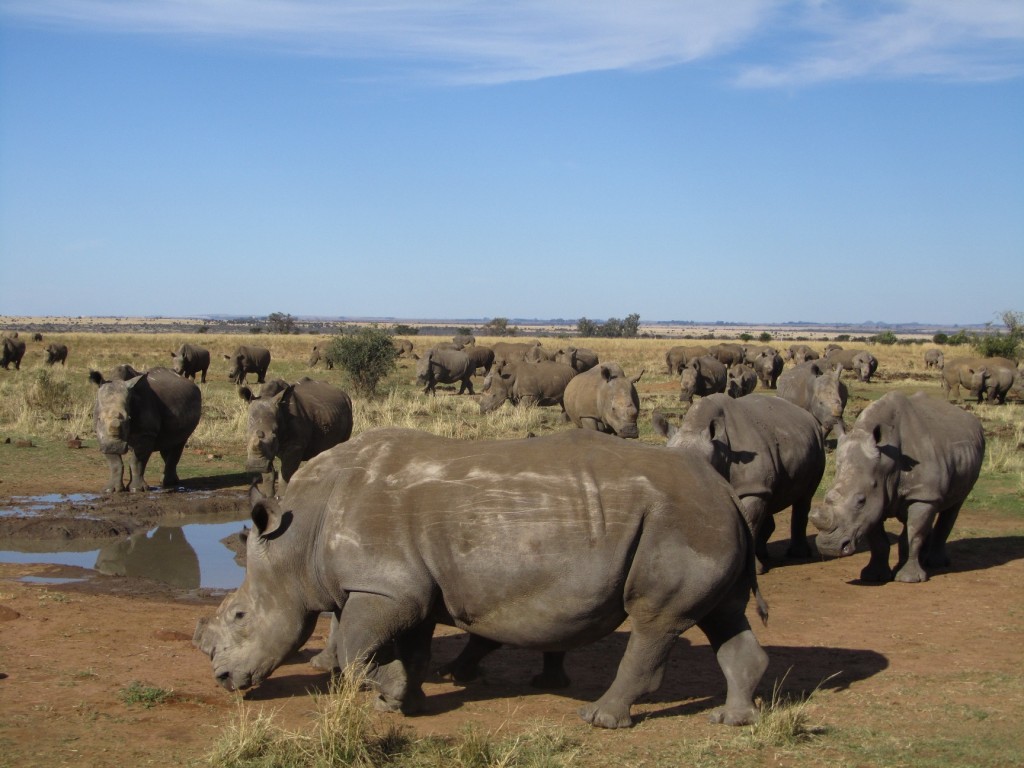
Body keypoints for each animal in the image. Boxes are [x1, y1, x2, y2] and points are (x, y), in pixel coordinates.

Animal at [193, 428, 769, 728]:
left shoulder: (383, 586)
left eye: (240, 616)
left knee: (655, 621)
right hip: (704, 521)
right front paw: (406, 702)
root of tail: (723, 489)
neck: (297, 537)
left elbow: (357, 648)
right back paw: (733, 719)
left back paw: (601, 719)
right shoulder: (411, 587)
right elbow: (413, 648)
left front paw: (392, 695)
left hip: (678, 521)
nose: (222, 679)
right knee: (724, 616)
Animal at [655, 394, 826, 574]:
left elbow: (750, 521)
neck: (720, 450)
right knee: (771, 497)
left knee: (805, 498)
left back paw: (798, 554)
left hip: (817, 444)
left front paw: (753, 570)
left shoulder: (751, 487)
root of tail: (809, 416)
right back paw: (764, 554)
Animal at [811, 391, 984, 583]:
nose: (829, 547)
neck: (886, 465)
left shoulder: (921, 494)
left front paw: (909, 579)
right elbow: (877, 539)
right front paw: (874, 576)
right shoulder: (876, 499)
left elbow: (913, 535)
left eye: (860, 501)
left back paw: (935, 563)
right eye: (827, 495)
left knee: (953, 506)